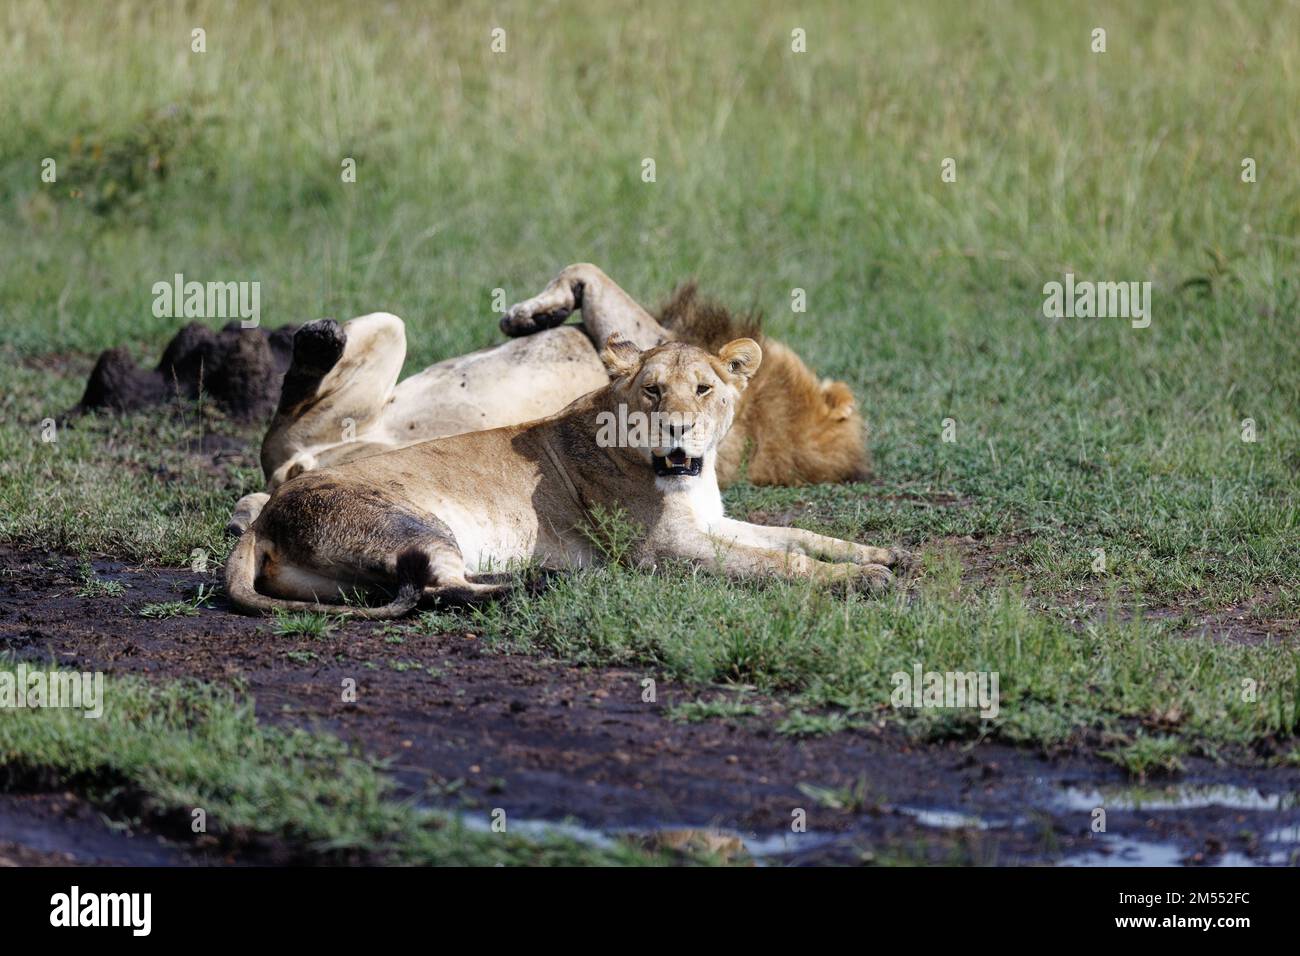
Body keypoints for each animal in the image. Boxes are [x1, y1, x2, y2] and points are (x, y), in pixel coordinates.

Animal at [224, 334, 908, 617]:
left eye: (704, 389)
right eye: (654, 391)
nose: (677, 430)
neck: (689, 475)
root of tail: (263, 519)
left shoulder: (710, 521)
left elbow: (797, 536)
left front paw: (883, 553)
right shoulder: (664, 549)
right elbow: (778, 563)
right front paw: (861, 580)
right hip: (413, 521)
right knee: (438, 587)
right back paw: (539, 583)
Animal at [227, 264, 870, 534]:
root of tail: (294, 465)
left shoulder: (650, 341)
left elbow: (588, 267)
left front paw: (528, 313)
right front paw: (537, 314)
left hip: (331, 456)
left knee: (282, 465)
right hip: (388, 334)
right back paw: (316, 342)